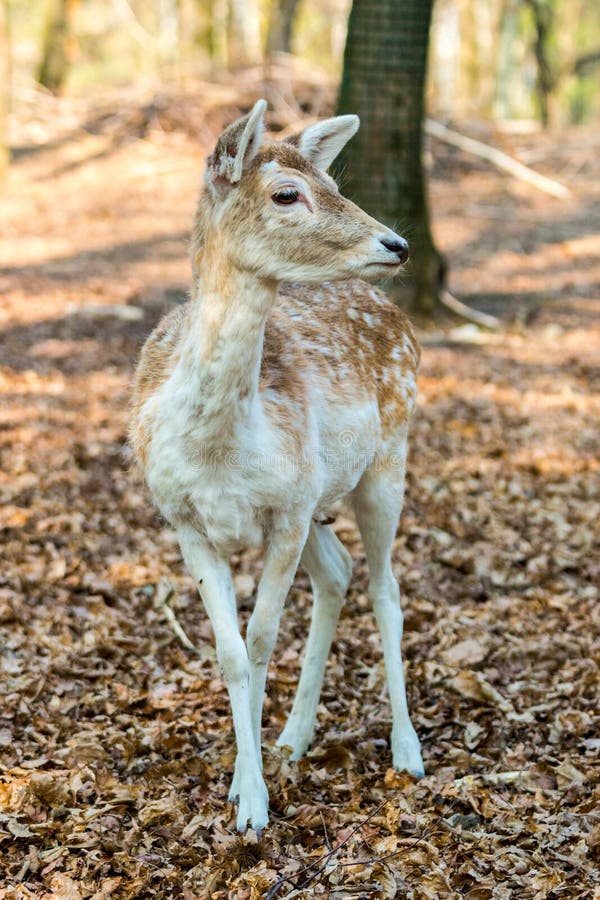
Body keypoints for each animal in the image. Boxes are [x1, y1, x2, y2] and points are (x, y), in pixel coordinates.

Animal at [130, 99, 424, 832]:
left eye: (334, 182)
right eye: (287, 194)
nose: (397, 245)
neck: (218, 451)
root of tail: (397, 315)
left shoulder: (285, 512)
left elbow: (262, 641)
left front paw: (253, 801)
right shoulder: (185, 521)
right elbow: (232, 652)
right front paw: (245, 789)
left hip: (388, 460)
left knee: (385, 588)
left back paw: (407, 750)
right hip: (322, 498)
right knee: (339, 573)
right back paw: (294, 736)